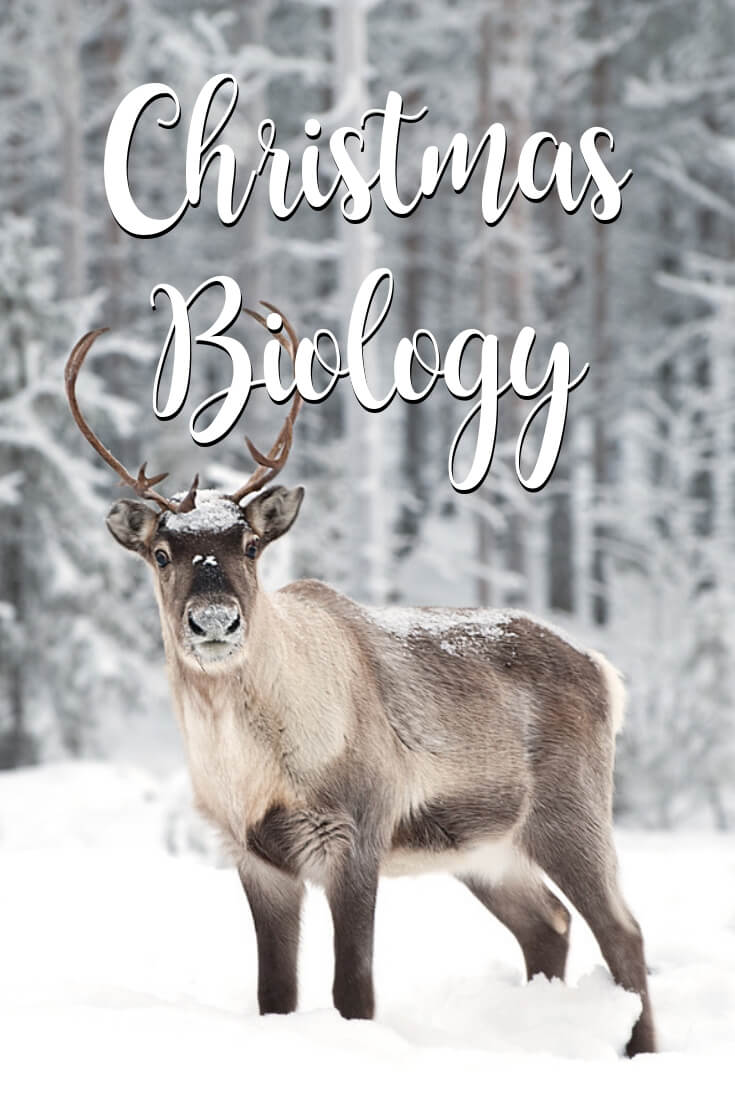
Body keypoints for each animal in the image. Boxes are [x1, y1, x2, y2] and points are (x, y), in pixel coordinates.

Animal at [64, 309, 656, 1057]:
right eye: (162, 553)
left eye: (250, 547)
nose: (215, 621)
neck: (252, 764)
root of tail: (603, 671)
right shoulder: (255, 857)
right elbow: (274, 995)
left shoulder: (354, 834)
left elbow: (354, 992)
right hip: (485, 850)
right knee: (547, 923)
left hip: (569, 812)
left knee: (623, 931)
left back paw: (637, 1049)